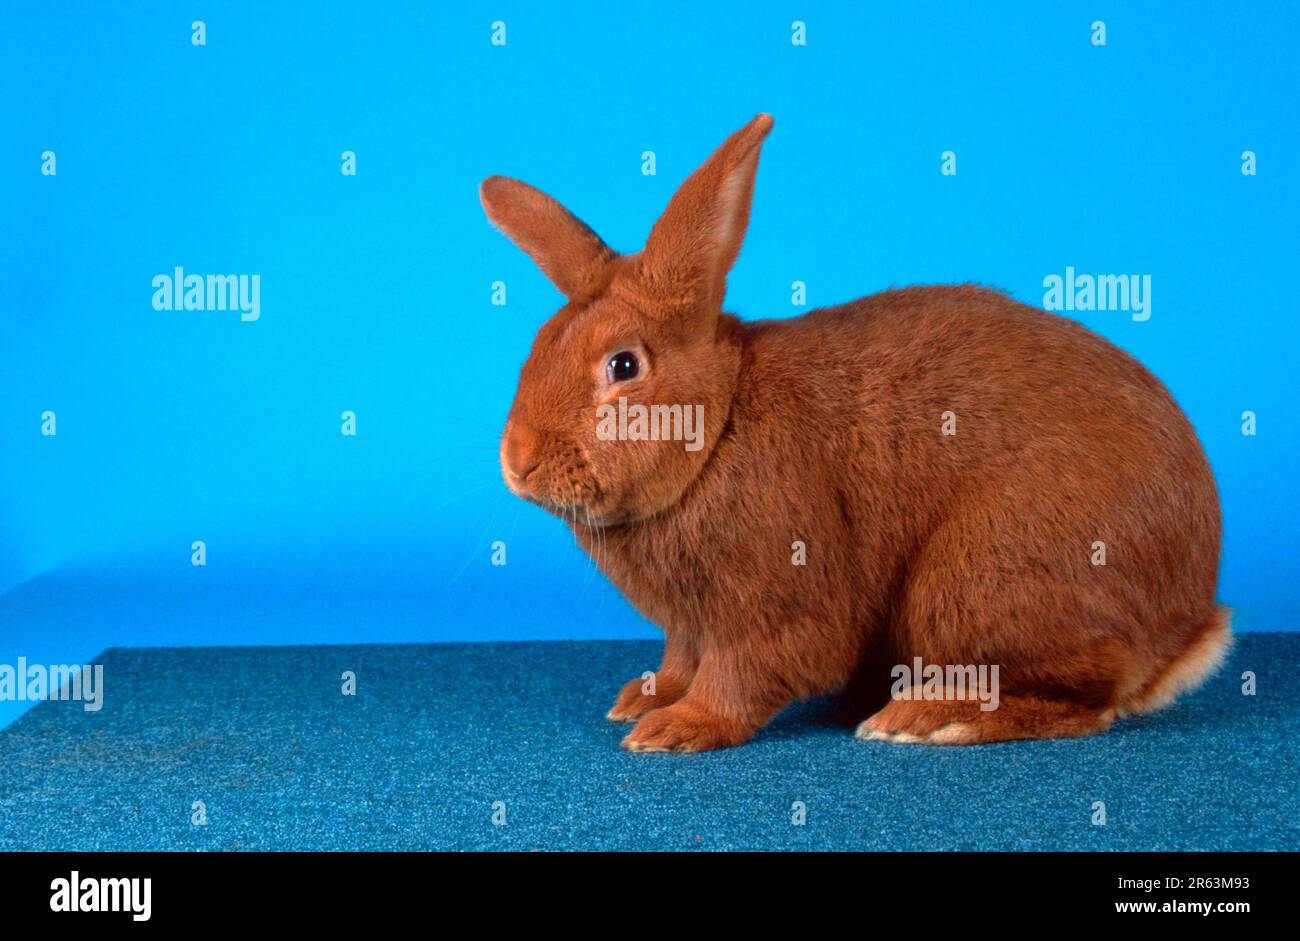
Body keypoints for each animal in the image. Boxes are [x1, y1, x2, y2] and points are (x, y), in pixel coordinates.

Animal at [481, 113, 1229, 752]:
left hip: (975, 583)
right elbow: (682, 659)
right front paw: (643, 698)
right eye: (538, 345)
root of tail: (1187, 626)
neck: (718, 429)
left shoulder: (775, 604)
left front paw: (675, 728)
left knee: (1085, 697)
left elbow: (743, 674)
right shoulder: (687, 626)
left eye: (624, 365)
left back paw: (926, 719)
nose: (517, 462)